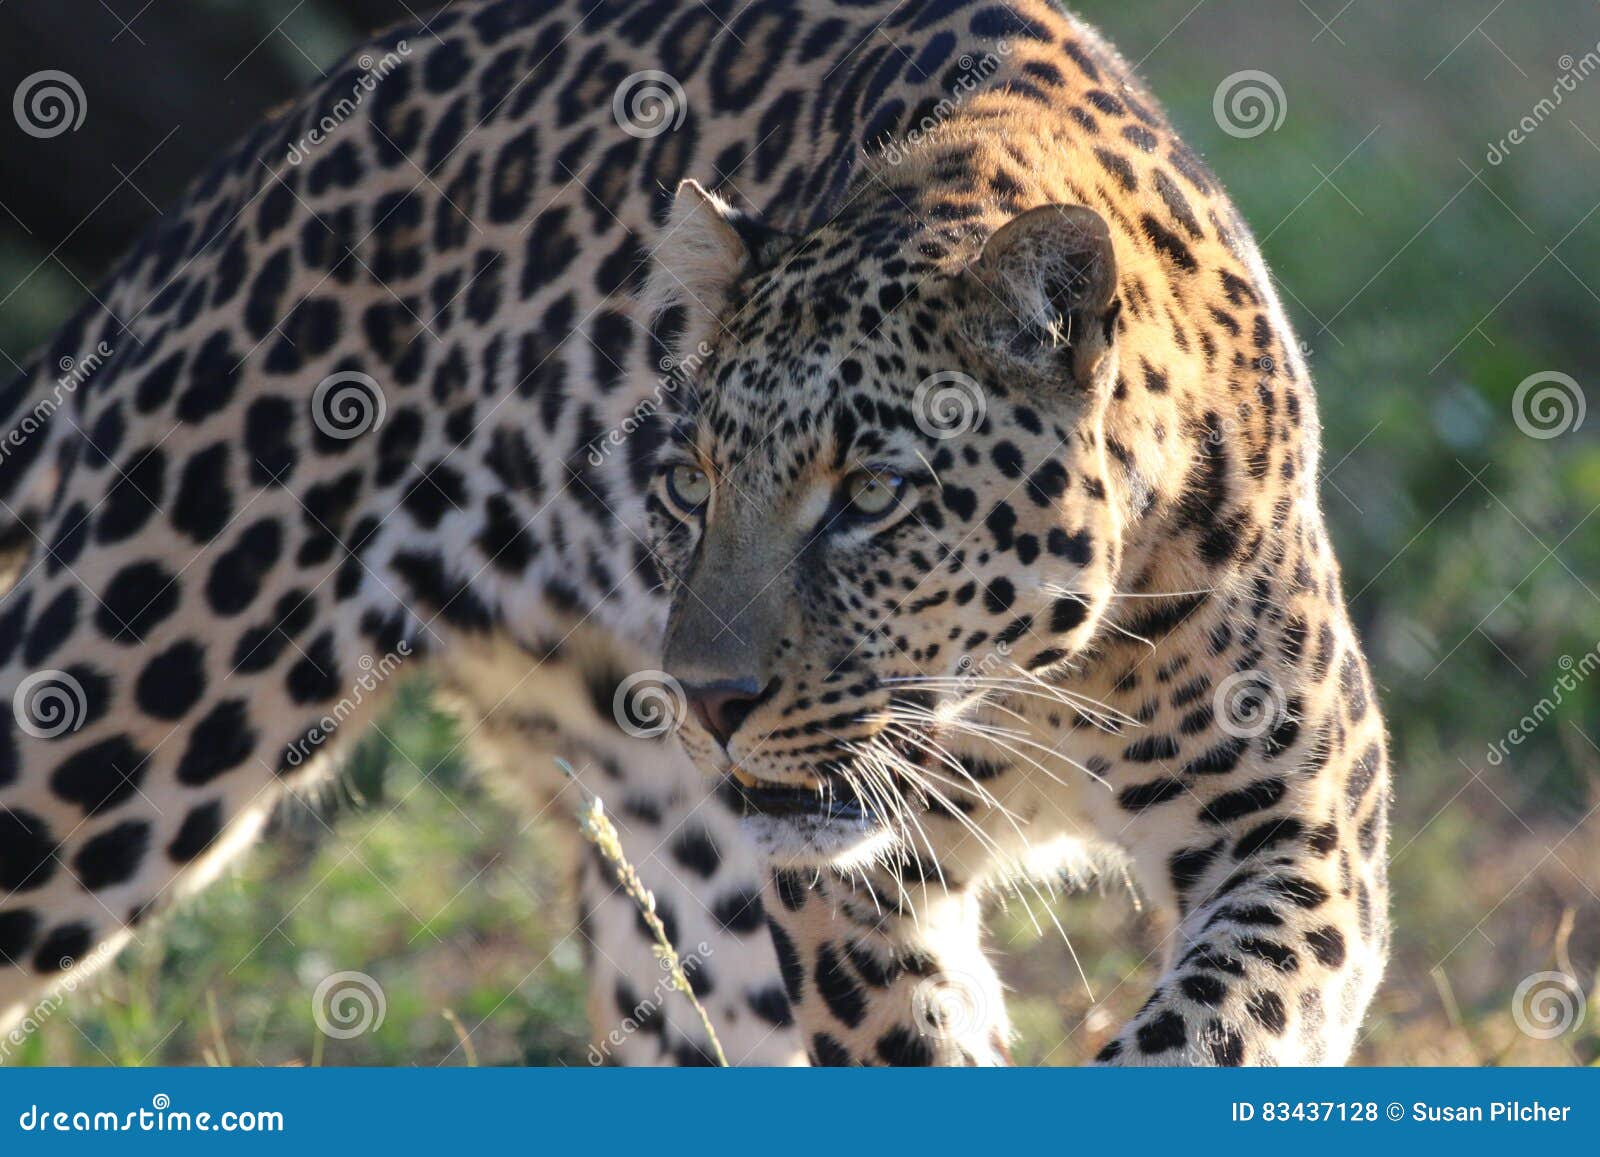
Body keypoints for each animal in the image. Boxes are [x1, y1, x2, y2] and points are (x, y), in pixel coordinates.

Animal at [0, 0, 1389, 1067]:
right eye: (687, 482)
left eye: (869, 493)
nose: (707, 699)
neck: (1032, 684)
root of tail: (247, 175)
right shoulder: (848, 895)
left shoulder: (1302, 834)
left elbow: (1213, 1031)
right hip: (119, 706)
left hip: (677, 888)